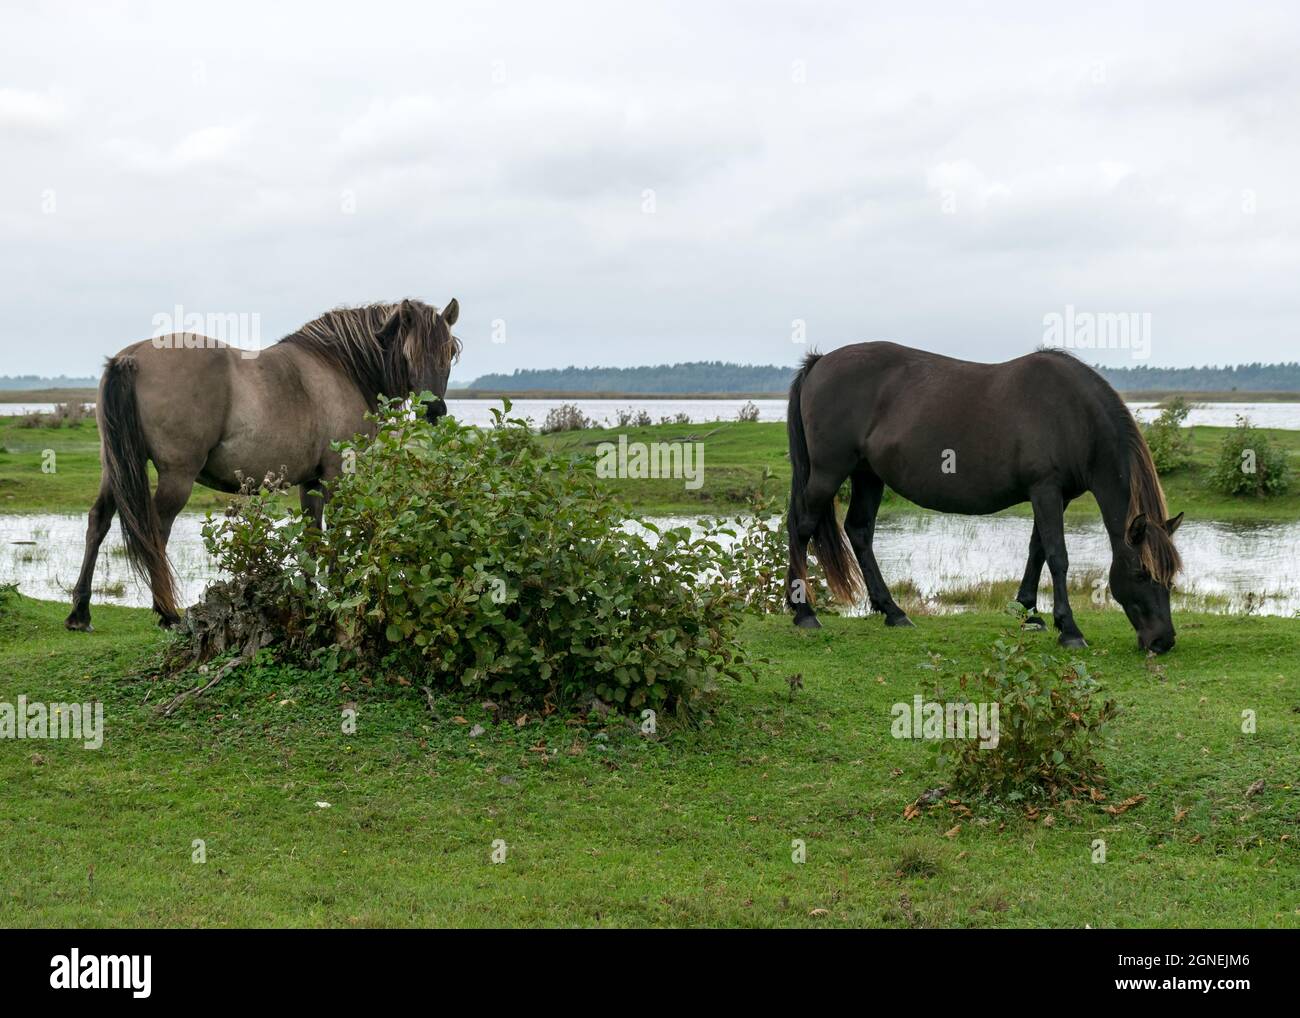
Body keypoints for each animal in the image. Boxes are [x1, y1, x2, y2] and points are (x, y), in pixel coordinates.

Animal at [66, 298, 462, 632]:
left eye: (449, 351)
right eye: (410, 352)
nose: (434, 410)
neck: (342, 367)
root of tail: (131, 357)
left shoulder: (311, 481)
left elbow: (312, 538)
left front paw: (312, 598)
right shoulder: (337, 475)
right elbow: (335, 535)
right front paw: (338, 596)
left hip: (114, 467)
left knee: (98, 521)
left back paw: (80, 612)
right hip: (177, 476)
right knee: (155, 531)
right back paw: (167, 612)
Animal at [784, 344, 1184, 653]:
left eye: (1171, 576)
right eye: (1141, 572)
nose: (1162, 641)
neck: (1073, 414)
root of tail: (821, 361)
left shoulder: (1054, 496)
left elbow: (1037, 550)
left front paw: (1029, 613)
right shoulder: (1046, 490)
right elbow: (1057, 556)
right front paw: (1069, 629)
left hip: (868, 475)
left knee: (859, 531)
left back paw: (893, 612)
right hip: (829, 471)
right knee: (802, 526)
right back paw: (804, 613)